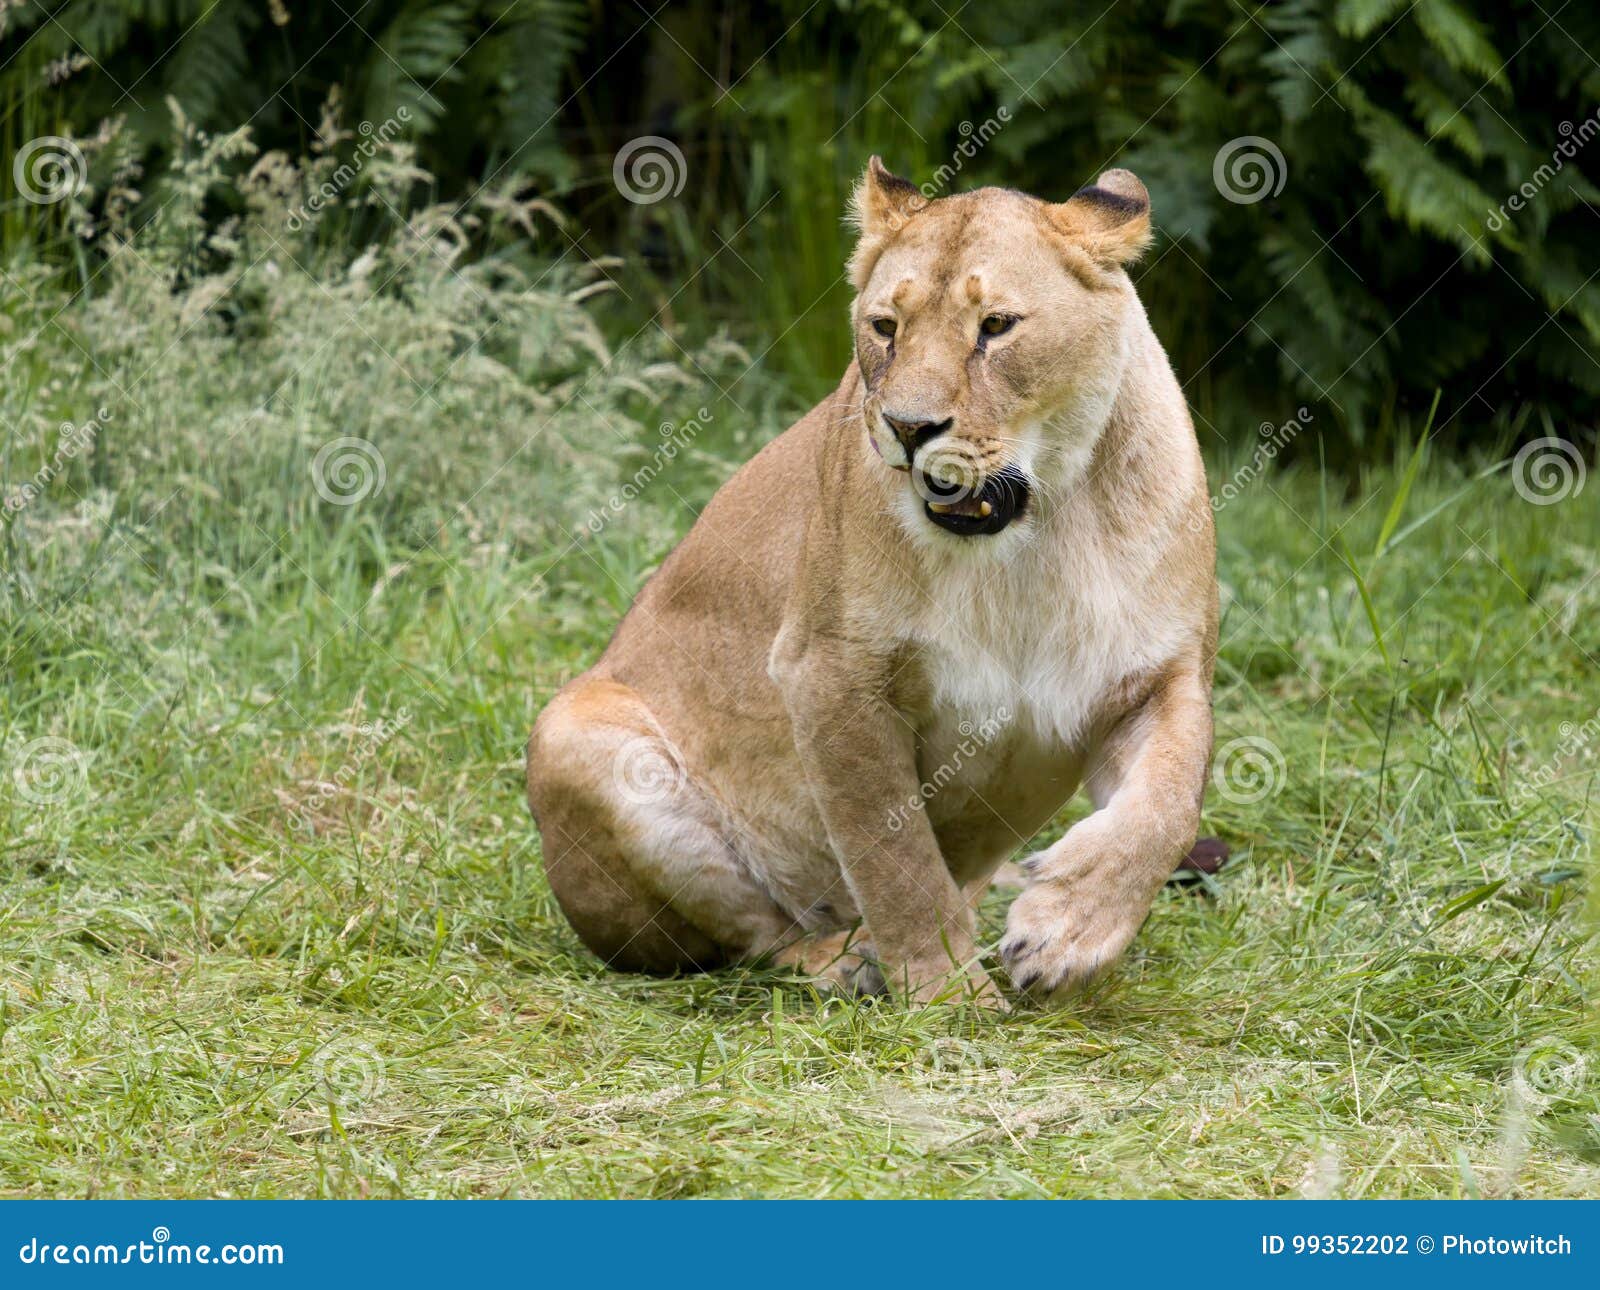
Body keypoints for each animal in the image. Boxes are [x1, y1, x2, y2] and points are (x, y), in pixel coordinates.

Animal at [526, 158, 1218, 1005]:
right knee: (753, 937)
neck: (1036, 539)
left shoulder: (1161, 675)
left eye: (997, 326)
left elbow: (1167, 807)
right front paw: (948, 996)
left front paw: (1064, 933)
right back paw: (845, 960)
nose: (910, 428)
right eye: (886, 327)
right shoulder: (828, 673)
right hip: (571, 736)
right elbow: (897, 859)